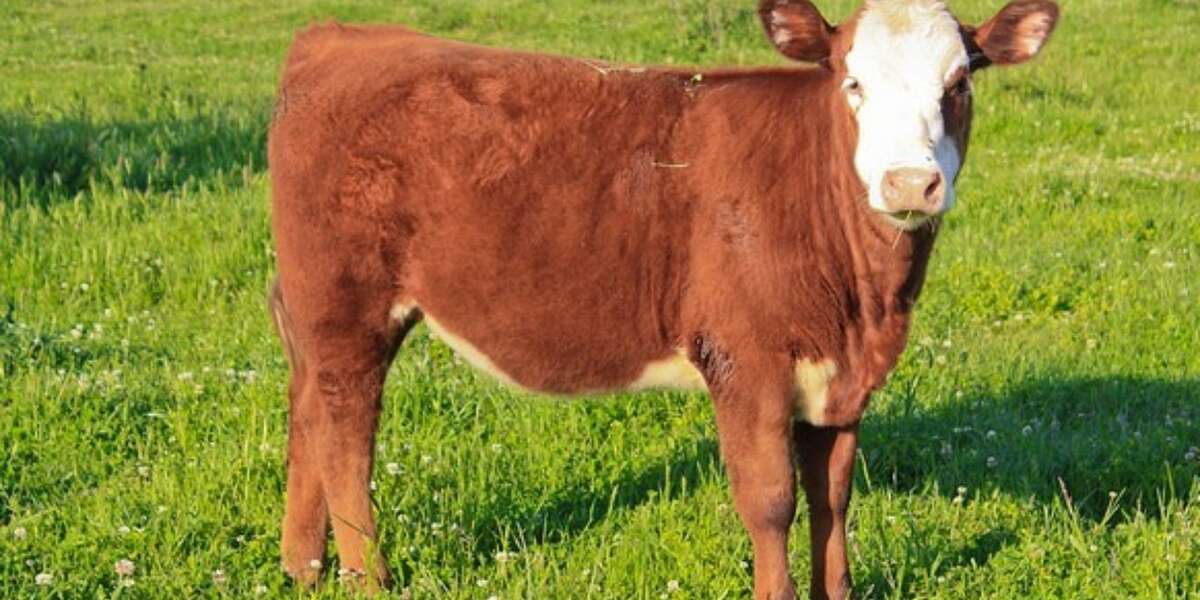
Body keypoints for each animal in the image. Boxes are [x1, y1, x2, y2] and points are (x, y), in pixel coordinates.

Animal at [267, 1, 1059, 597]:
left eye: (959, 83)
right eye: (852, 81)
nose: (908, 183)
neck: (866, 304)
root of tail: (339, 36)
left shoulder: (840, 380)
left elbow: (832, 497)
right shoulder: (746, 360)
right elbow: (770, 502)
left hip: (317, 311)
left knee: (306, 407)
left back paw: (301, 567)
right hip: (345, 302)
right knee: (345, 434)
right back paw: (364, 577)